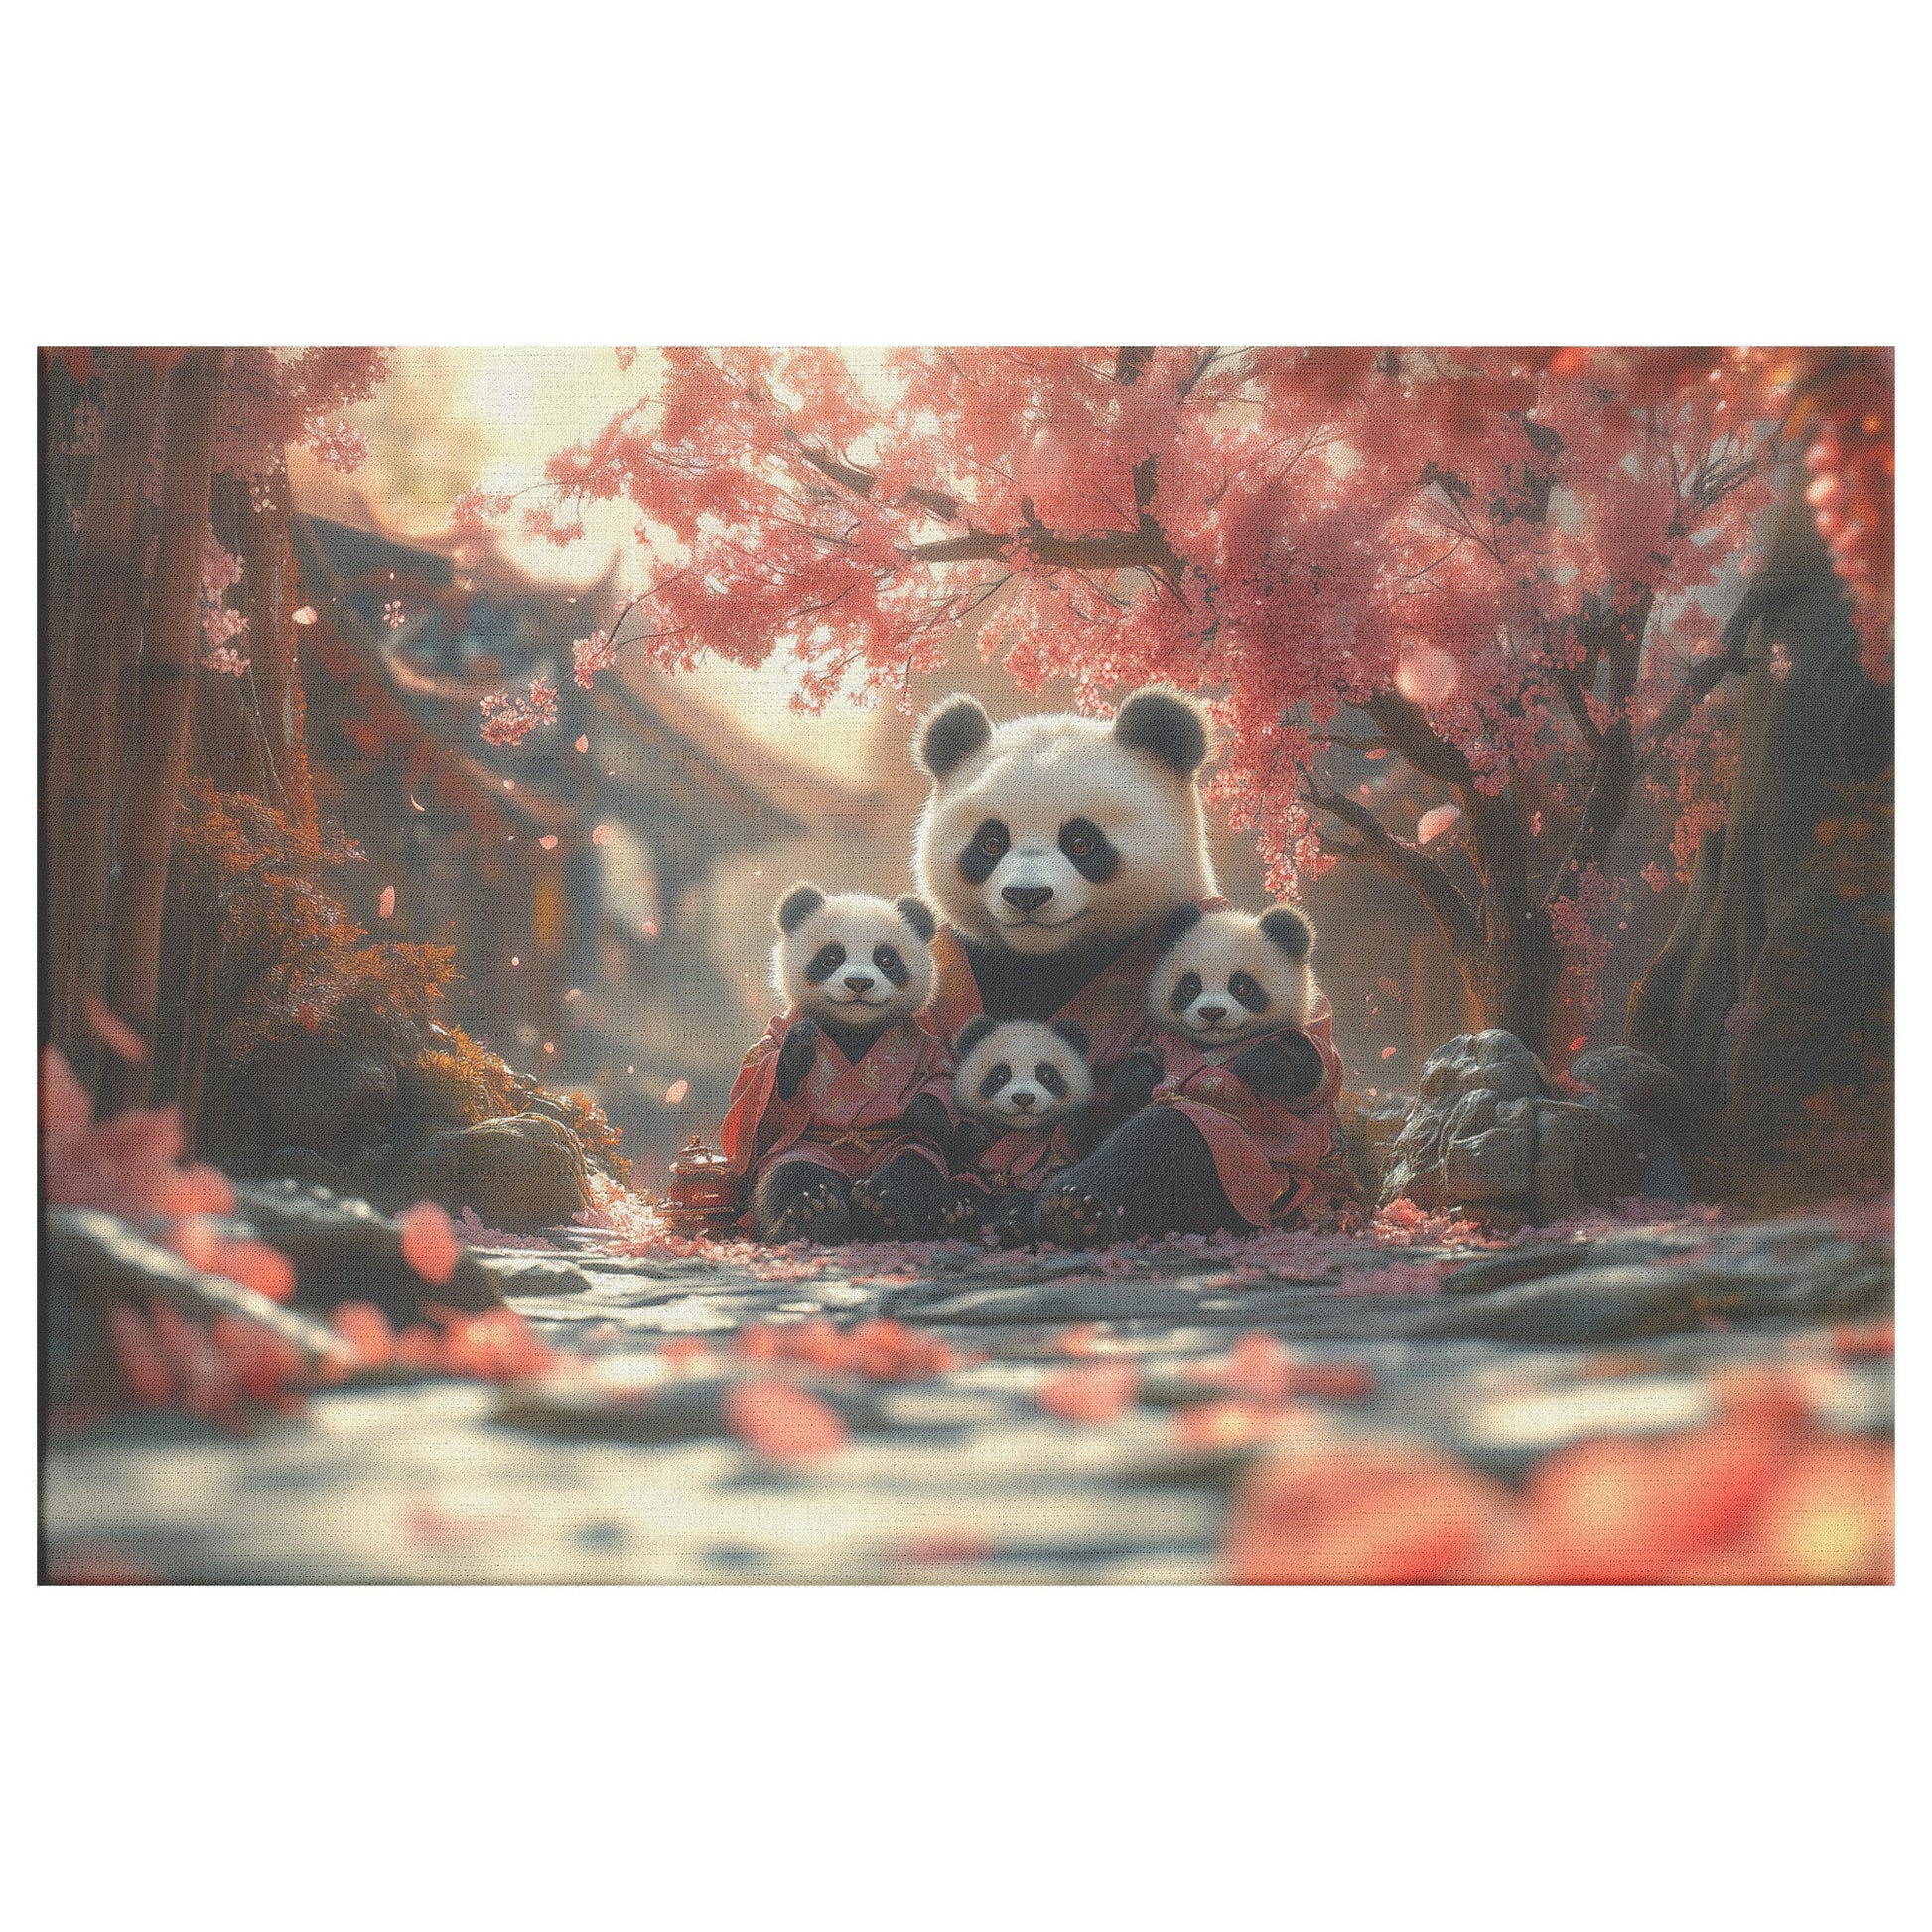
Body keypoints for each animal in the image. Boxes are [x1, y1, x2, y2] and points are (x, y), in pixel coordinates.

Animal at [716, 884, 961, 1244]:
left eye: (886, 959)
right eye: (831, 958)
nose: (859, 983)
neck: (854, 1028)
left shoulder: (924, 1043)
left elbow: (942, 1079)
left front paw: (922, 1111)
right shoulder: (774, 1034)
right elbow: (752, 1092)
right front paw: (799, 1048)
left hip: (895, 1146)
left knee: (915, 1169)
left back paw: (881, 1209)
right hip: (810, 1147)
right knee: (790, 1174)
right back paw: (815, 1214)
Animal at [949, 1017, 1101, 1245]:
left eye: (1046, 1075)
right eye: (1000, 1075)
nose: (1023, 1098)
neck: (1023, 1131)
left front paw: (1076, 1129)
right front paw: (975, 1137)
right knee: (966, 1189)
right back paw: (961, 1217)